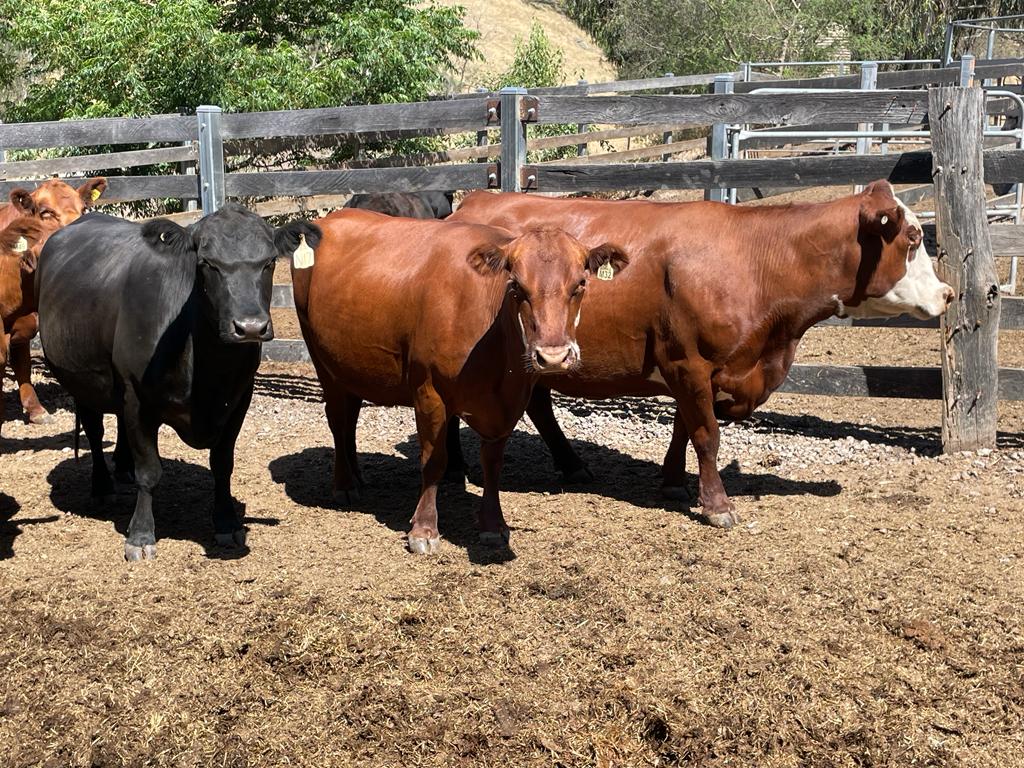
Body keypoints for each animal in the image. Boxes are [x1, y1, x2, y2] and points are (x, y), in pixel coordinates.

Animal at [37, 203, 321, 560]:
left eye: (269, 262)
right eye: (207, 263)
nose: (250, 327)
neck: (207, 373)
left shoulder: (239, 398)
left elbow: (222, 464)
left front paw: (227, 523)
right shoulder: (137, 397)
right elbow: (149, 472)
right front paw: (141, 535)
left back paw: (123, 467)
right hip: (81, 379)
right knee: (94, 429)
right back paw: (102, 486)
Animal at [292, 209, 628, 554]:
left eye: (580, 284)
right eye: (516, 286)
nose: (552, 356)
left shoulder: (508, 403)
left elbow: (492, 462)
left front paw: (493, 525)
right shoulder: (428, 390)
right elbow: (433, 459)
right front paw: (424, 529)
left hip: (350, 364)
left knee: (350, 418)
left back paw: (357, 476)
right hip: (320, 358)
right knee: (337, 420)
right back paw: (344, 484)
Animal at [449, 181, 955, 528]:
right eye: (912, 238)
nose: (948, 294)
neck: (756, 261)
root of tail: (472, 201)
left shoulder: (696, 371)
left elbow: (684, 428)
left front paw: (674, 483)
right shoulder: (688, 362)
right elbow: (707, 435)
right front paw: (717, 505)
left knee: (537, 403)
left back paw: (572, 466)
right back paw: (456, 470)